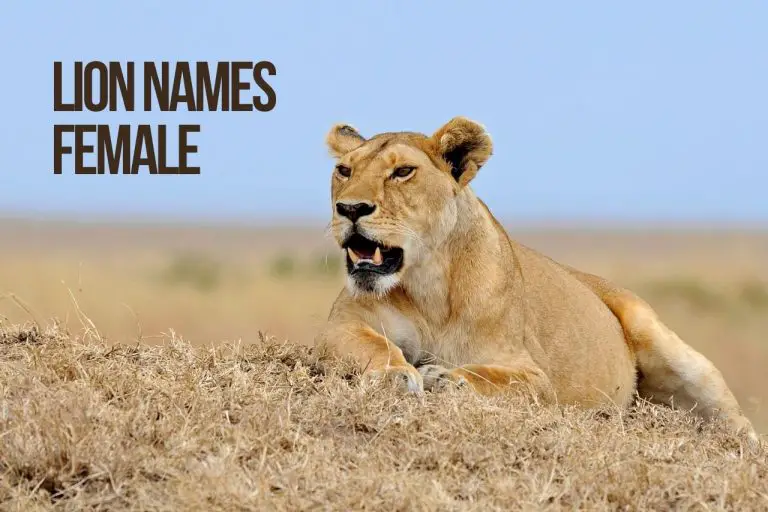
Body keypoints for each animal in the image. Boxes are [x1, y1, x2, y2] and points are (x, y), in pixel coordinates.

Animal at [314, 117, 759, 446]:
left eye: (403, 172)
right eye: (344, 171)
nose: (349, 208)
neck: (427, 285)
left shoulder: (534, 376)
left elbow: (492, 378)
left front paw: (445, 378)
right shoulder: (341, 325)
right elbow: (373, 344)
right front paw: (394, 374)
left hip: (666, 343)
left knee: (735, 418)